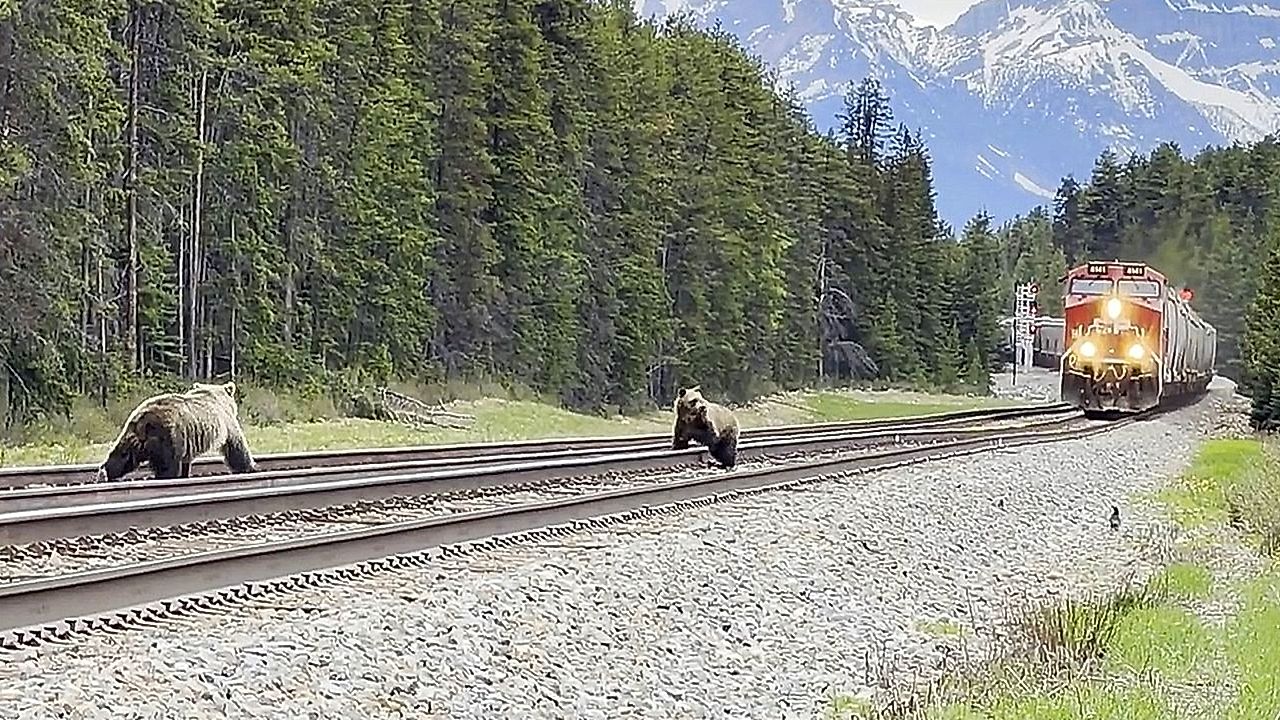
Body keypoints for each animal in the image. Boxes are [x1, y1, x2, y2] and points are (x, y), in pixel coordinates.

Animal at [94, 381, 260, 482]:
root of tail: (143, 420)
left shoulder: (189, 438)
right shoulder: (226, 422)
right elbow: (236, 446)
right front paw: (250, 467)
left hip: (132, 435)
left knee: (122, 456)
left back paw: (104, 474)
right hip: (167, 436)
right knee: (168, 465)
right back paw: (165, 477)